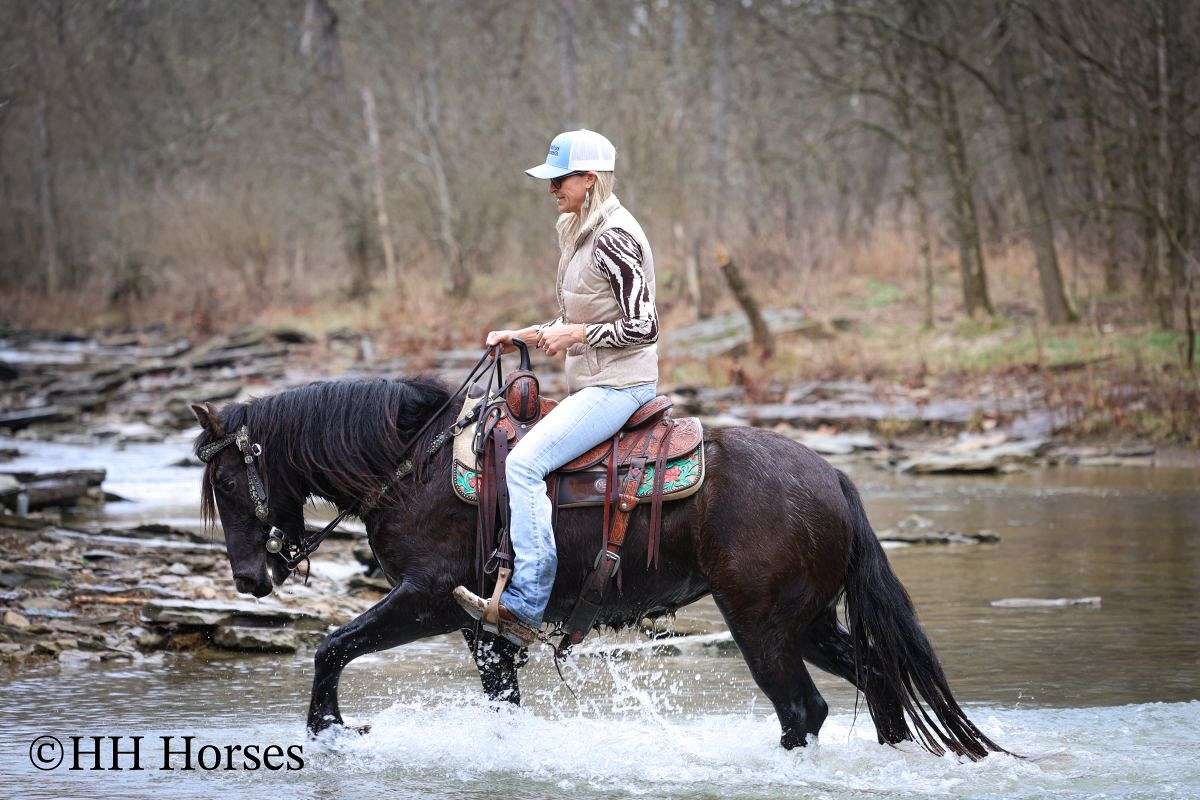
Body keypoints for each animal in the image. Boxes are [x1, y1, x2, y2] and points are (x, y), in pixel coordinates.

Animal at [191, 374, 1005, 759]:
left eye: (227, 481)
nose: (248, 580)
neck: (411, 464)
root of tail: (832, 477)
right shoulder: (479, 621)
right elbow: (503, 704)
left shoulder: (428, 598)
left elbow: (333, 646)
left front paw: (329, 729)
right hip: (805, 620)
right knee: (877, 678)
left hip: (763, 625)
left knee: (802, 711)